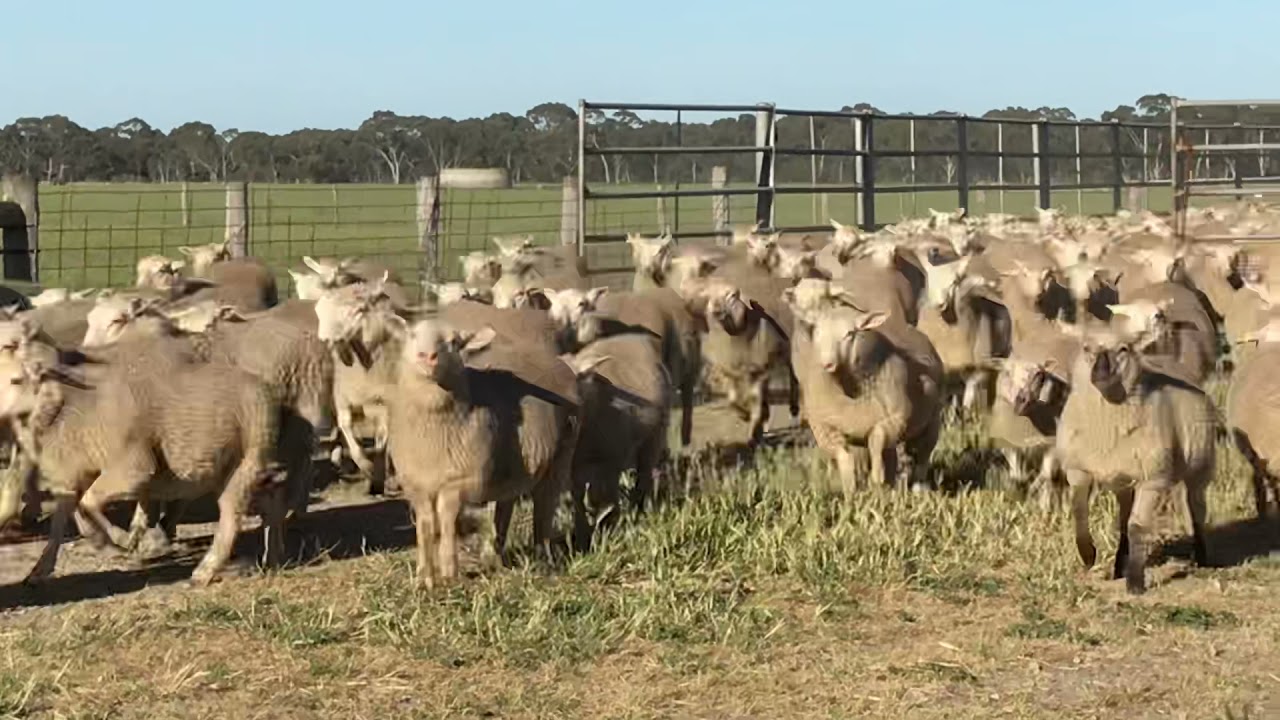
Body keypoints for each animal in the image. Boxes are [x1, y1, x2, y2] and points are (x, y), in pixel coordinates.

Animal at [388, 317, 578, 588]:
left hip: (562, 455)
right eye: (412, 334)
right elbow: (425, 526)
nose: (428, 356)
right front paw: (424, 578)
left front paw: (448, 573)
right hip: (515, 467)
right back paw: (494, 557)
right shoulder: (415, 484)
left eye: (455, 342)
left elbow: (446, 521)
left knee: (544, 507)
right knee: (506, 505)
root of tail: (559, 363)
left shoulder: (458, 481)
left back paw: (544, 559)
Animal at [562, 332, 672, 550]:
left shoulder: (612, 460)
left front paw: (607, 530)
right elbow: (577, 498)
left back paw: (638, 513)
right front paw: (581, 537)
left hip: (655, 436)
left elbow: (606, 499)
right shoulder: (574, 466)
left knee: (643, 477)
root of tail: (636, 337)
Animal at [1055, 324, 1217, 594]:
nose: (1100, 371)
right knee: (1122, 523)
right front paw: (1088, 553)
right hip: (1124, 481)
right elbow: (1079, 510)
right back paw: (1119, 565)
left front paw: (1135, 583)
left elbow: (1138, 527)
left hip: (1199, 469)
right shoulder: (1078, 470)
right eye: (1086, 348)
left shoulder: (1152, 479)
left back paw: (1203, 557)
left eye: (1123, 349)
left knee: (1196, 509)